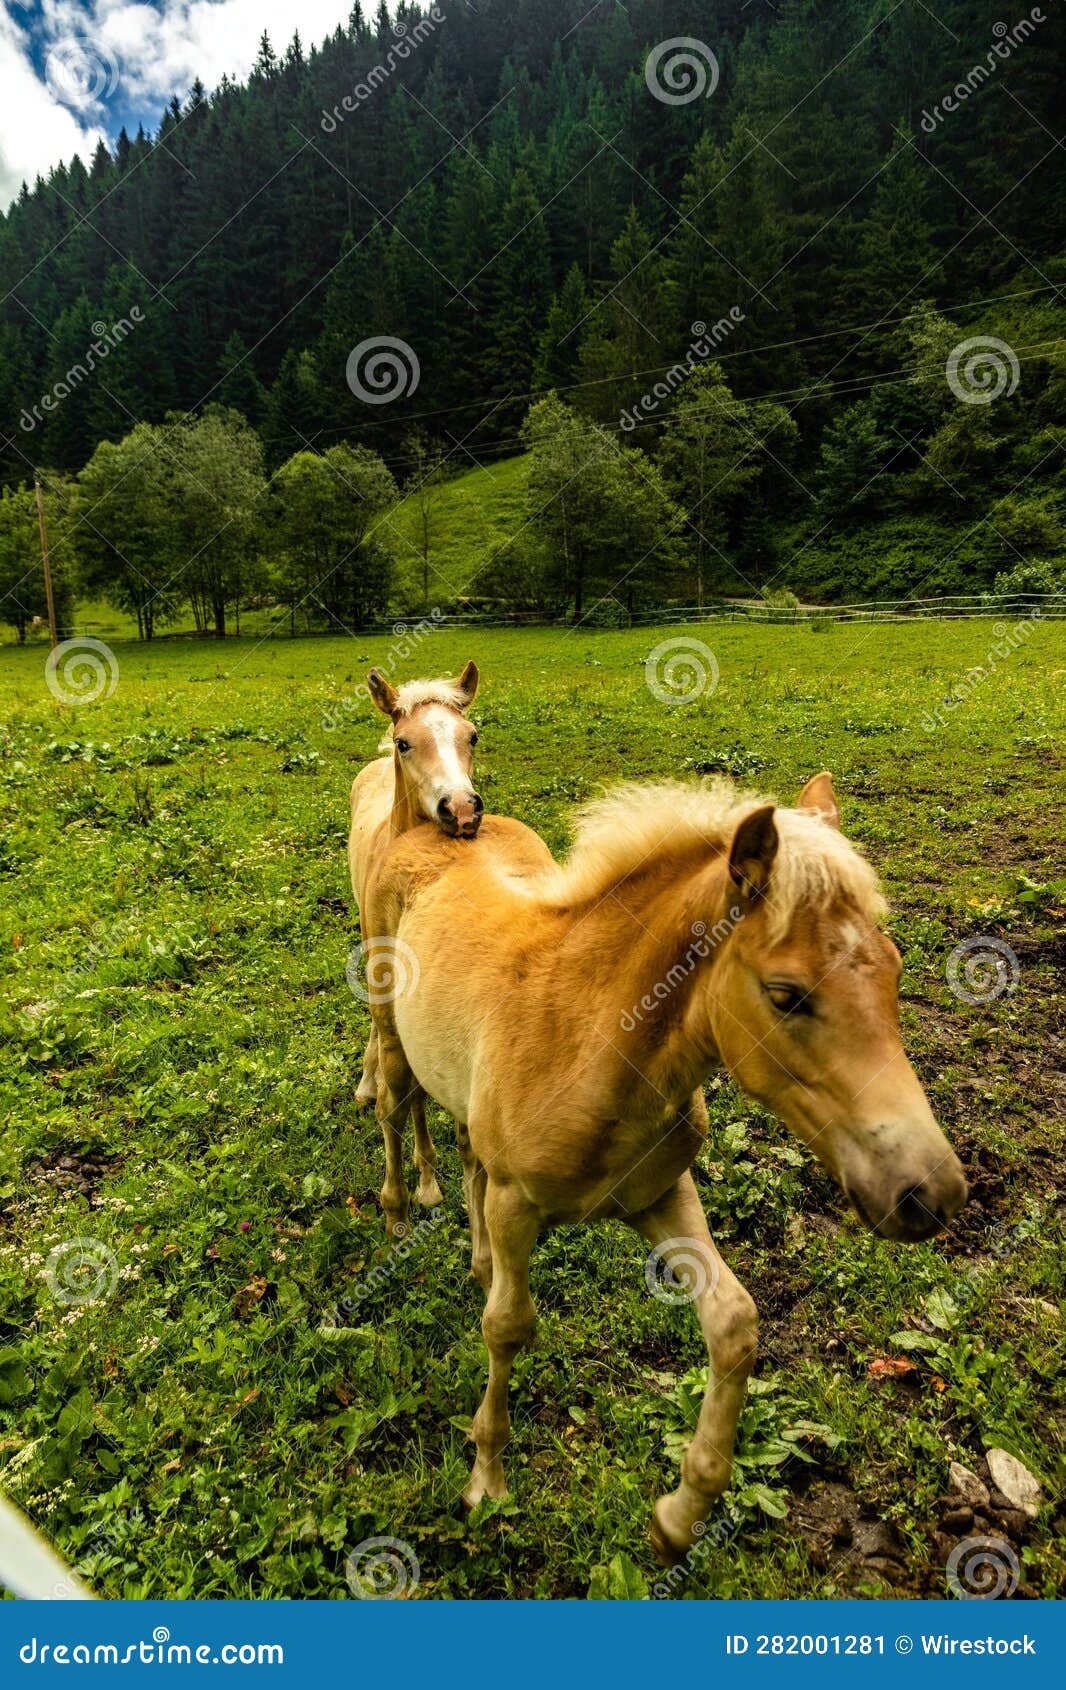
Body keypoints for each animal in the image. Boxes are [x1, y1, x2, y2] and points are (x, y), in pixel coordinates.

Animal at [362, 771, 967, 1562]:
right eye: (786, 995)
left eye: (894, 968)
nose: (931, 1191)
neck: (586, 1036)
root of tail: (428, 827)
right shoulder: (518, 1203)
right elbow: (508, 1328)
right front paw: (486, 1476)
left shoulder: (661, 1195)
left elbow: (735, 1324)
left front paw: (682, 1512)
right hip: (389, 1030)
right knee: (394, 1108)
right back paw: (401, 1211)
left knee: (465, 1148)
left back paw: (476, 1256)